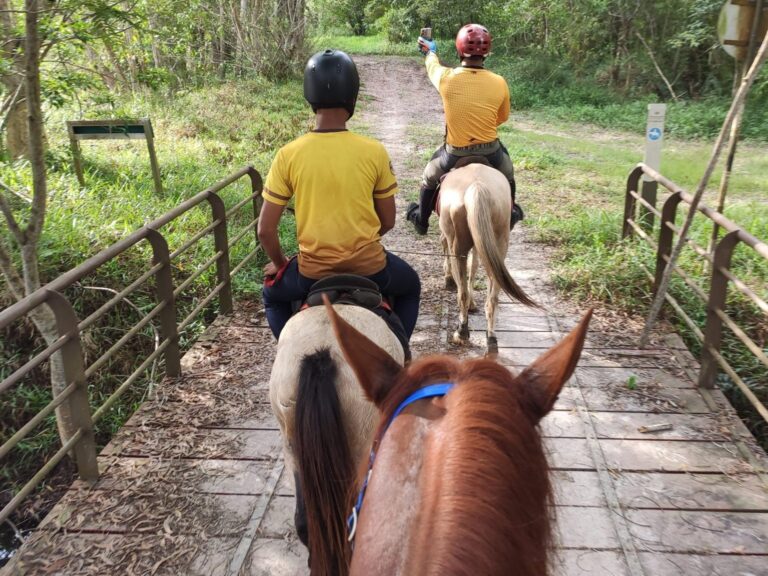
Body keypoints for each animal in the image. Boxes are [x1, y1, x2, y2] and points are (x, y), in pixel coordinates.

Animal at [438, 162, 538, 354]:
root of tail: (476, 187)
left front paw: (448, 278)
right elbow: (474, 266)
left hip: (458, 246)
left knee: (461, 290)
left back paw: (462, 332)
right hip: (498, 244)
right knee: (493, 296)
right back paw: (491, 340)